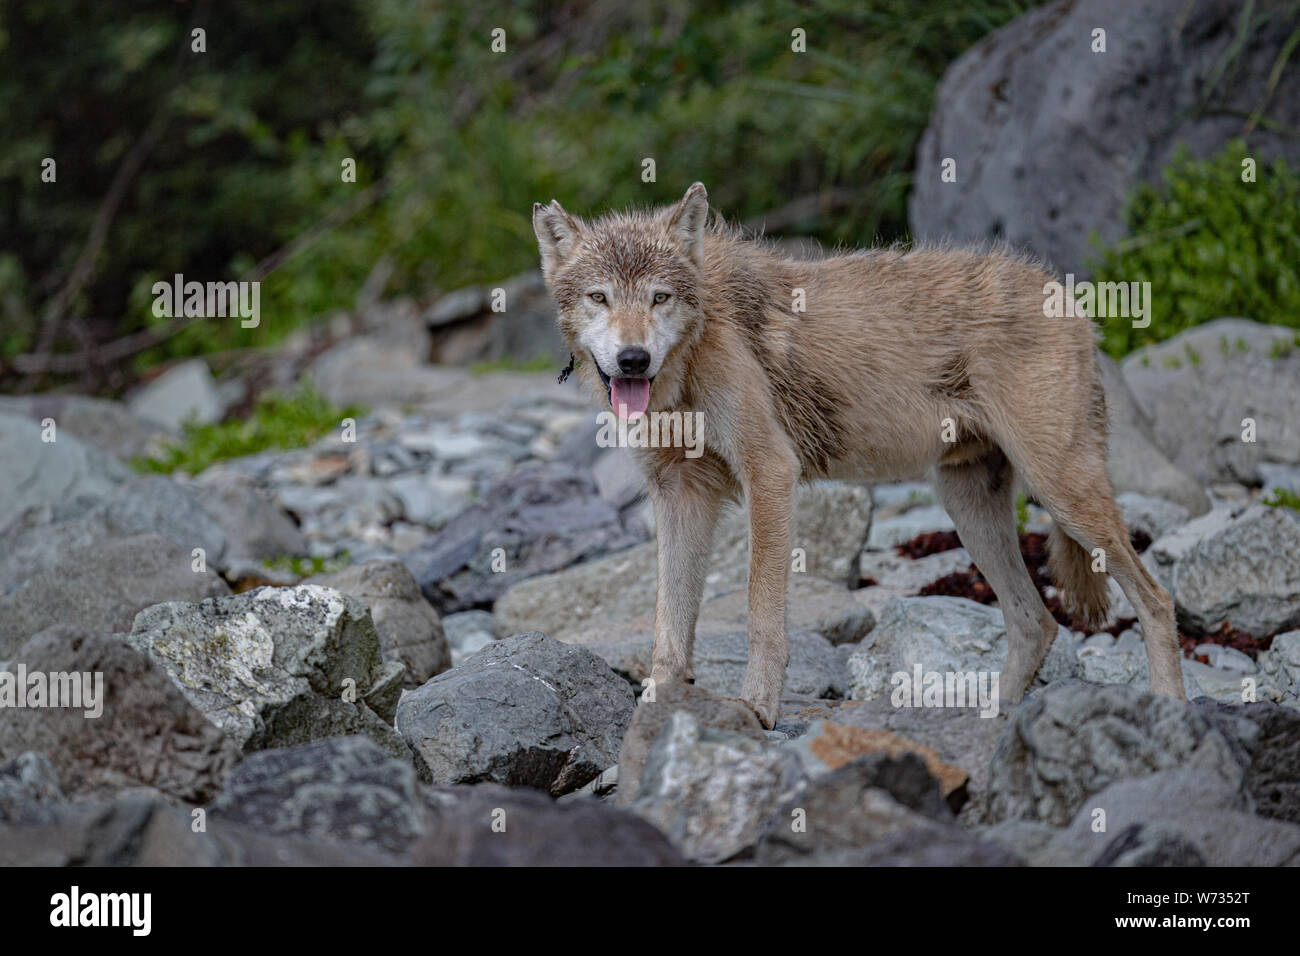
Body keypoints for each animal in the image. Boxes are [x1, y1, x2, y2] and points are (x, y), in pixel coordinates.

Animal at [532, 183, 1185, 728]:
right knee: (1037, 622)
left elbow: (760, 615)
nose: (633, 359)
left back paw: (1168, 708)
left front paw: (757, 709)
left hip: (1061, 494)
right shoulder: (679, 494)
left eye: (660, 298)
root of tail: (1067, 296)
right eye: (599, 298)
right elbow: (669, 626)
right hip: (970, 509)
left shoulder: (770, 473)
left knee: (1156, 601)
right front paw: (657, 713)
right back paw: (989, 723)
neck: (687, 366)